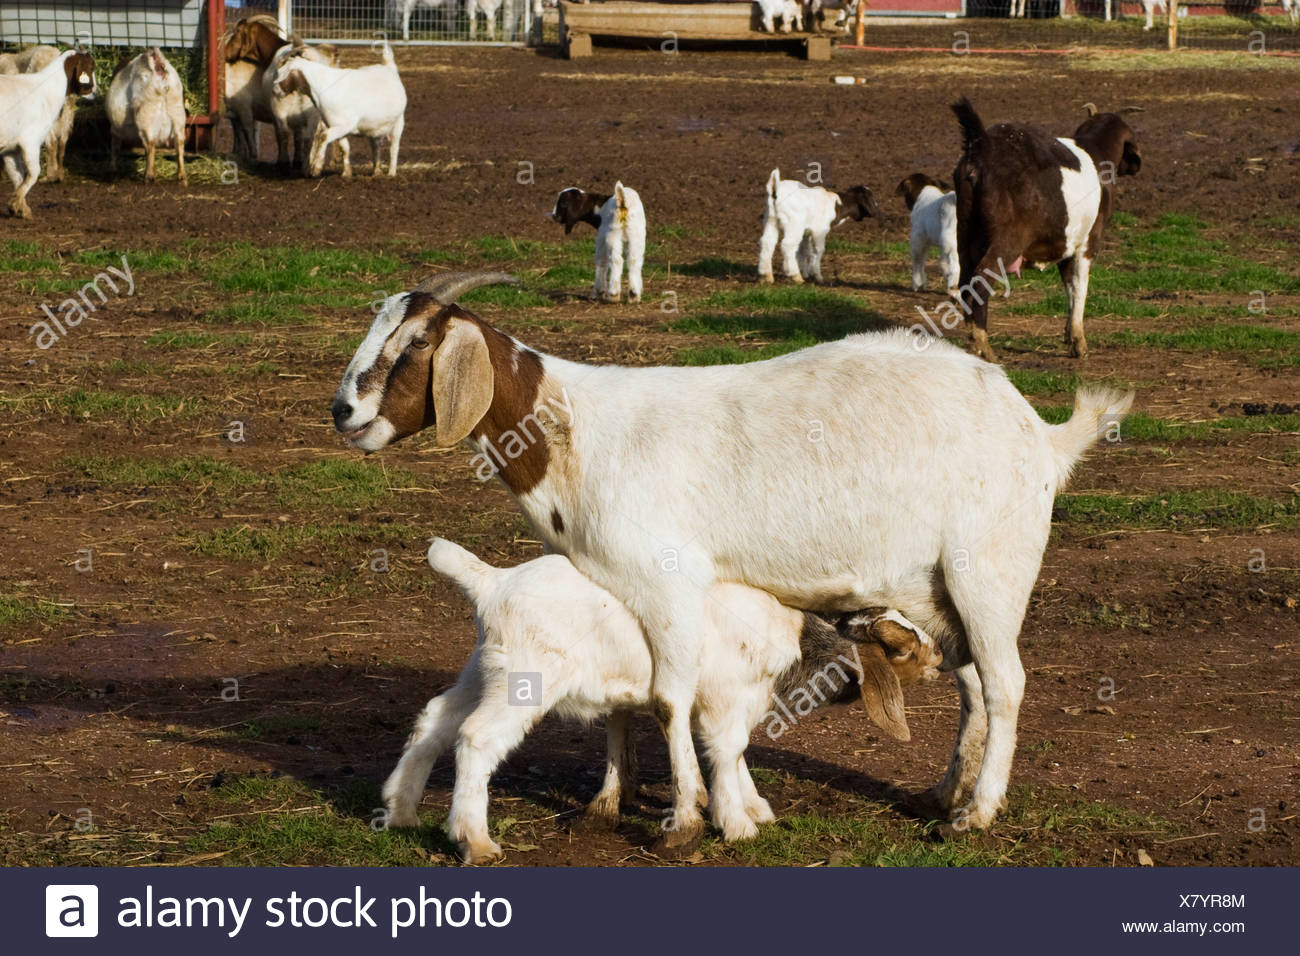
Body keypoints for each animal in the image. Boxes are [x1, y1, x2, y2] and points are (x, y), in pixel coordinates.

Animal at [107, 49, 188, 186]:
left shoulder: (115, 130)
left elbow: (115, 148)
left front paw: (114, 172)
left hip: (146, 118)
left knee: (150, 144)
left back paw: (149, 177)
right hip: (178, 115)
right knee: (179, 143)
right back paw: (181, 176)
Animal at [272, 42, 406, 179]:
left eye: (284, 73)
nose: (274, 90)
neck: (322, 86)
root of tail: (388, 67)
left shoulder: (344, 125)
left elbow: (323, 136)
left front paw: (316, 168)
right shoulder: (337, 126)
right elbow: (344, 148)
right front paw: (346, 173)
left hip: (399, 122)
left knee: (394, 147)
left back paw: (391, 172)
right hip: (374, 126)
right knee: (376, 146)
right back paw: (376, 171)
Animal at [383, 538, 941, 863]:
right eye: (900, 645)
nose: (937, 656)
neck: (795, 633)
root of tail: (493, 583)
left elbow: (731, 753)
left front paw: (751, 808)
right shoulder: (725, 698)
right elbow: (727, 749)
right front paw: (737, 824)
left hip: (485, 670)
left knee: (435, 719)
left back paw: (400, 811)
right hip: (524, 681)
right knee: (476, 738)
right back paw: (475, 842)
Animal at [951, 97, 1106, 361]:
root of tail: (983, 146)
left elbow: (1070, 287)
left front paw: (1070, 336)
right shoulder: (1087, 243)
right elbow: (1080, 286)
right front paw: (1078, 341)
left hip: (966, 234)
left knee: (965, 283)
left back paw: (973, 338)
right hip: (1008, 240)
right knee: (981, 281)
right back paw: (984, 345)